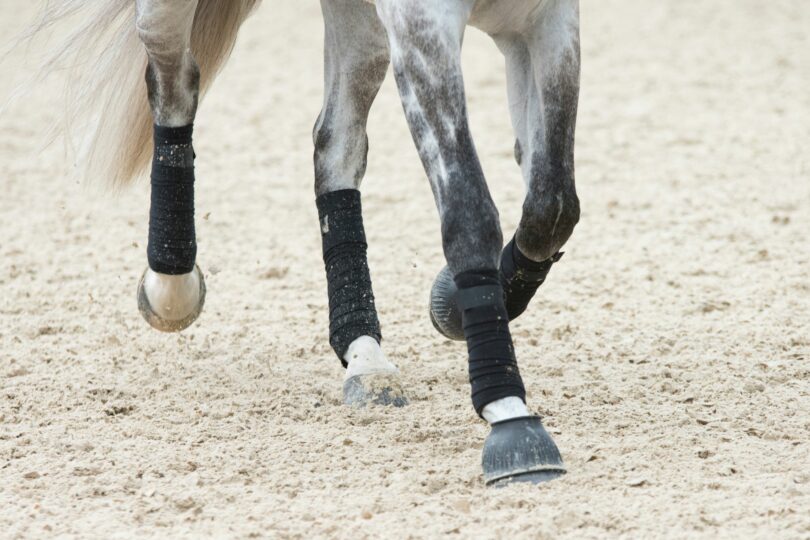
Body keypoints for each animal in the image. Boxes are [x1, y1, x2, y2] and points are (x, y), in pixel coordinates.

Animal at [20, 0, 581, 486]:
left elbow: (552, 204)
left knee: (335, 145)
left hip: (361, 24)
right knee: (174, 81)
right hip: (168, 16)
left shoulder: (544, 20)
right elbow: (469, 211)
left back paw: (364, 355)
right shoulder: (423, 29)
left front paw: (455, 304)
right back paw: (171, 286)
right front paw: (510, 421)